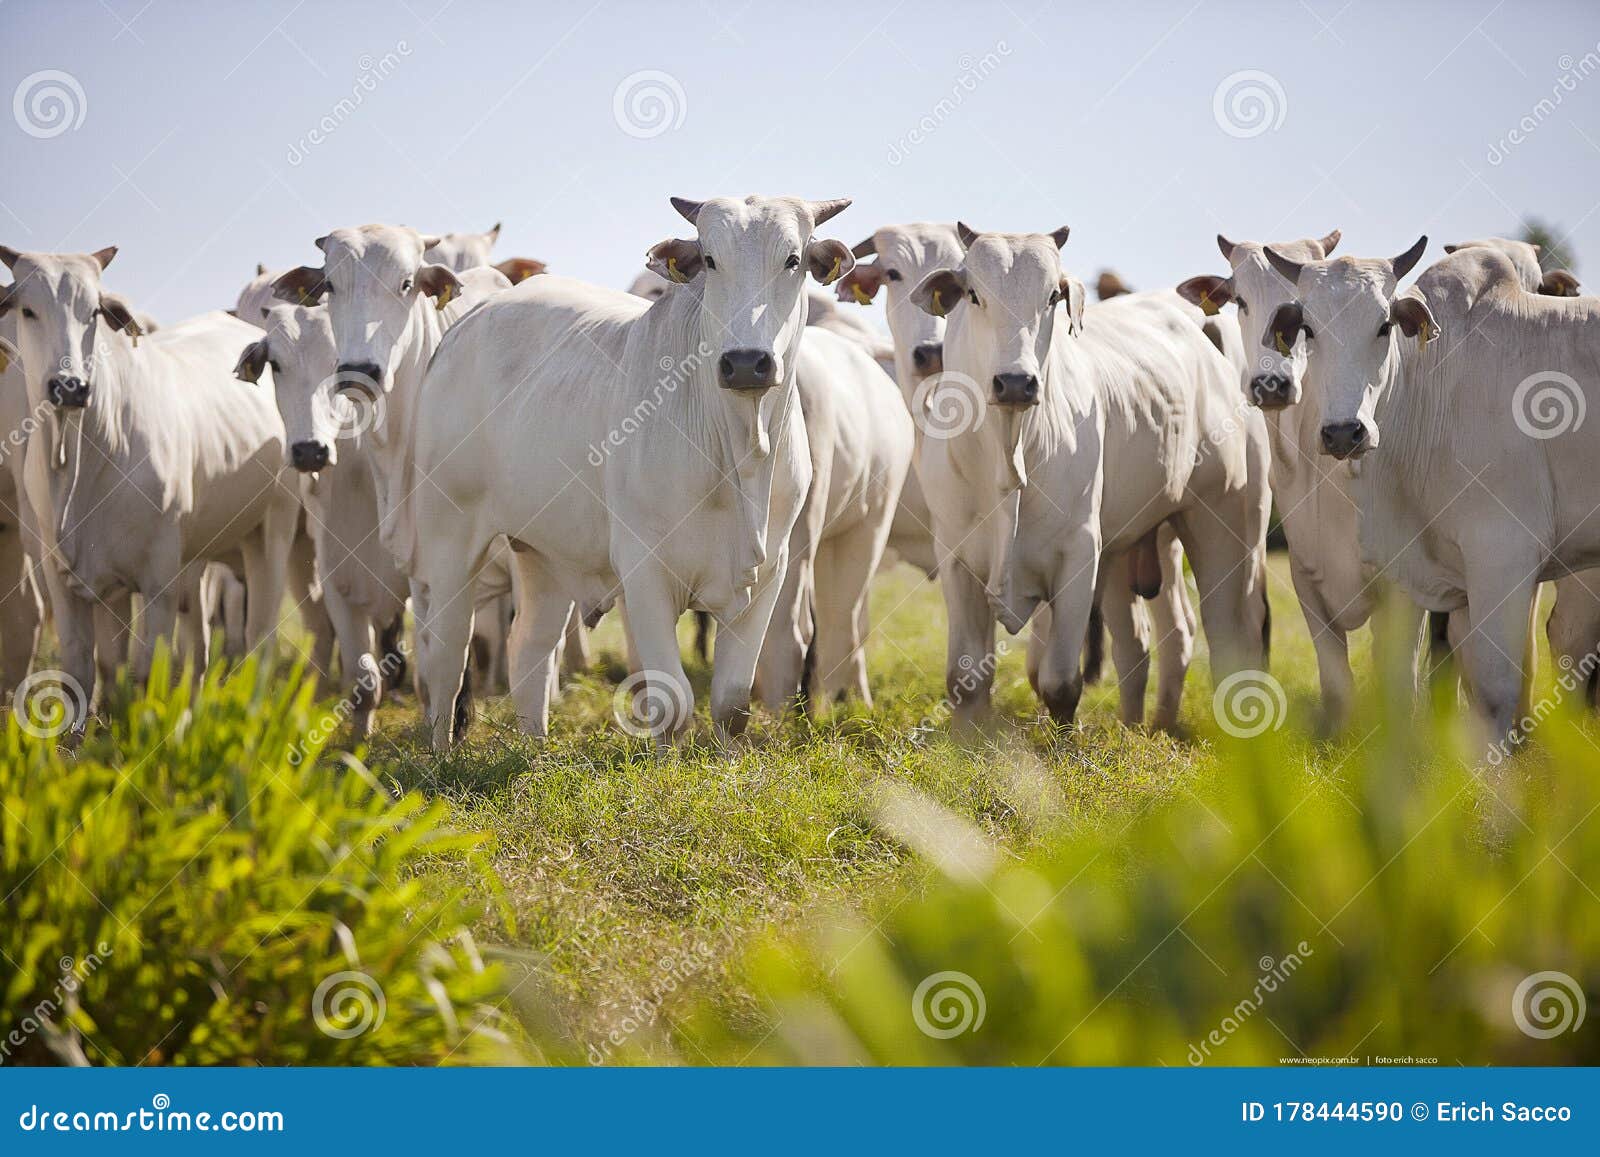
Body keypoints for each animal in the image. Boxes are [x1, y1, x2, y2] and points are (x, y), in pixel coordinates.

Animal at [0, 245, 300, 731]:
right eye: (27, 310)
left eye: (94, 311)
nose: (70, 386)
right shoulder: (68, 578)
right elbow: (88, 673)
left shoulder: (157, 580)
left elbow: (145, 675)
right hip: (195, 558)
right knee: (198, 647)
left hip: (272, 528)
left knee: (259, 637)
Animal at [399, 194, 851, 748]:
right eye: (710, 260)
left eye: (792, 260)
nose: (746, 363)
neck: (738, 453)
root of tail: (468, 323)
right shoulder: (644, 569)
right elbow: (673, 700)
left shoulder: (769, 573)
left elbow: (731, 703)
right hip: (449, 536)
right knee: (445, 652)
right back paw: (441, 751)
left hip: (543, 552)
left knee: (529, 647)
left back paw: (535, 750)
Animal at [907, 225, 1270, 729]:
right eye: (974, 294)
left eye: (1051, 297)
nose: (1016, 382)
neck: (1008, 457)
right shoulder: (956, 557)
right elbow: (968, 679)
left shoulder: (1079, 553)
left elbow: (1060, 683)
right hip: (1136, 545)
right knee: (1151, 640)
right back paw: (1145, 726)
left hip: (1229, 526)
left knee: (1231, 637)